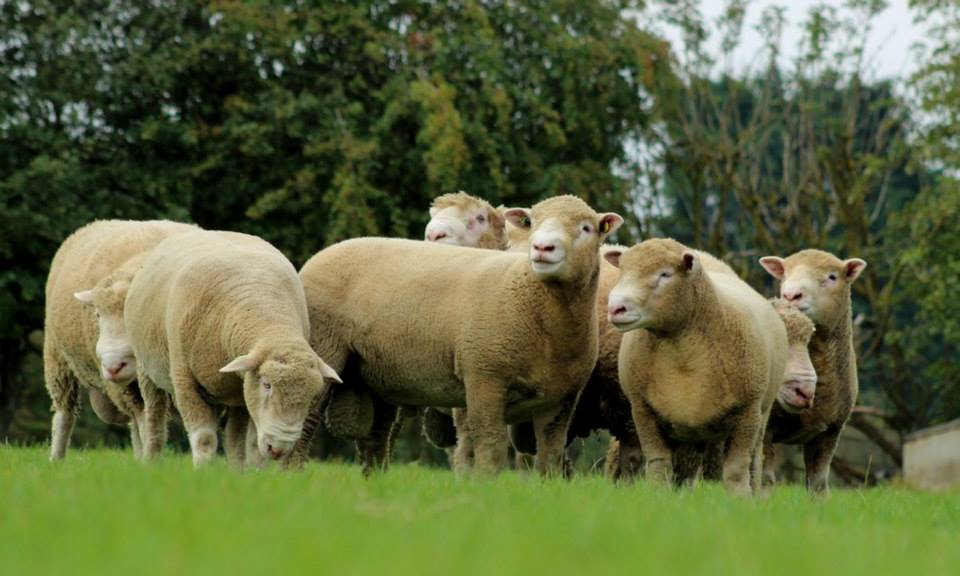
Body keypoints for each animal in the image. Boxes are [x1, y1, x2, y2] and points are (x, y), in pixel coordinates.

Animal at [44, 219, 199, 461]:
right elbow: (146, 423)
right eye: (97, 315)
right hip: (57, 357)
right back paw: (56, 459)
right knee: (64, 414)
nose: (113, 366)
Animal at [122, 230, 342, 468]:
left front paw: (237, 473)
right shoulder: (184, 380)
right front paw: (203, 470)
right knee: (154, 418)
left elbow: (238, 442)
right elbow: (204, 438)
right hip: (146, 370)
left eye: (313, 394)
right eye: (267, 385)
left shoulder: (242, 391)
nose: (277, 450)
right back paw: (150, 462)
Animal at [295, 195, 623, 476]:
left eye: (586, 228)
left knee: (377, 437)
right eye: (532, 222)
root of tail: (327, 251)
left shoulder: (562, 400)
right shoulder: (483, 380)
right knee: (308, 416)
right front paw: (483, 486)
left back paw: (376, 481)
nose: (542, 248)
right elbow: (488, 445)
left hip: (378, 374)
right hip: (325, 346)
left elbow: (550, 456)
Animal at [605, 239, 788, 495]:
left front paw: (740, 500)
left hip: (761, 413)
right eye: (622, 271)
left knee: (752, 463)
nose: (615, 308)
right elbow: (658, 464)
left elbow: (736, 470)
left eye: (665, 274)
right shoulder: (643, 410)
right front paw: (657, 495)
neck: (683, 356)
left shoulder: (747, 412)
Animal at [758, 249, 866, 494]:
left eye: (832, 277)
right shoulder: (766, 429)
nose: (790, 295)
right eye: (785, 273)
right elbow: (765, 480)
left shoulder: (829, 434)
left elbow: (818, 486)